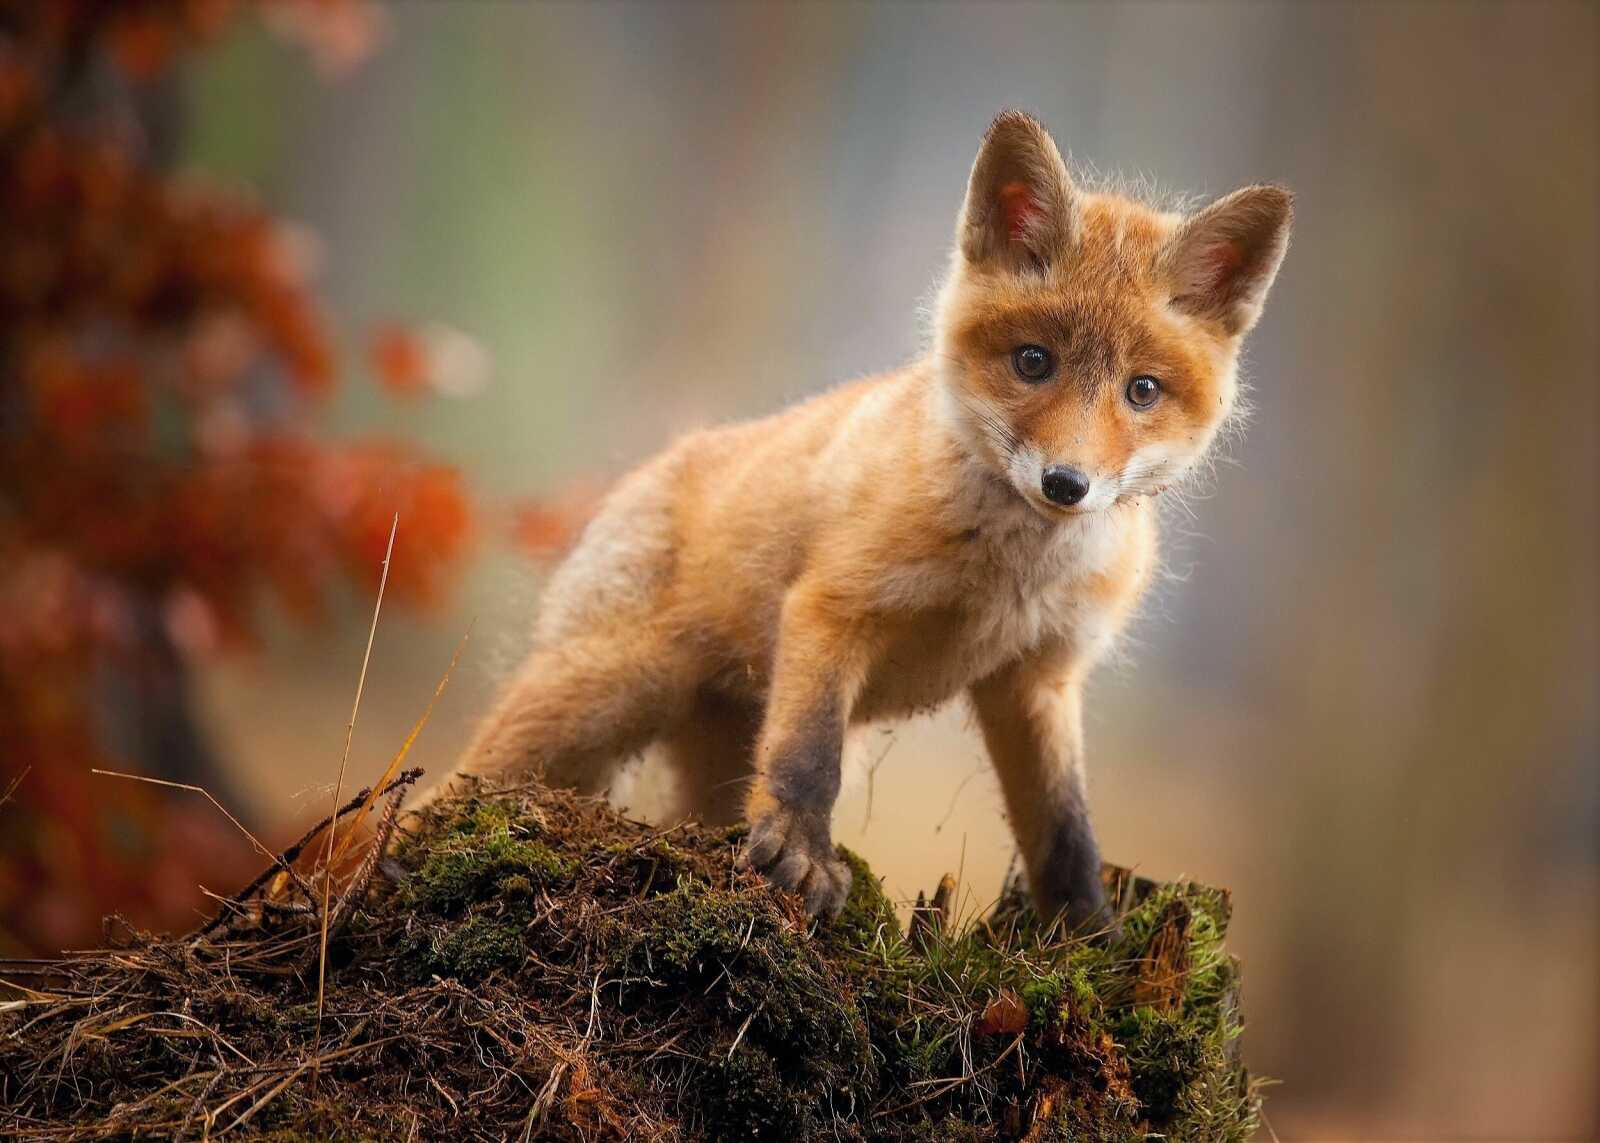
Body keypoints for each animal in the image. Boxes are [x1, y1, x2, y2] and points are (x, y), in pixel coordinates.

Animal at [437, 110, 1291, 925]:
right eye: (1033, 361)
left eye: (1142, 390)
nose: (1066, 482)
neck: (1008, 575)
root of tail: (652, 467)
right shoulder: (834, 606)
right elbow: (811, 756)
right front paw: (801, 854)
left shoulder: (1037, 678)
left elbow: (1066, 832)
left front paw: (1089, 938)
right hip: (593, 699)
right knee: (442, 790)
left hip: (707, 751)